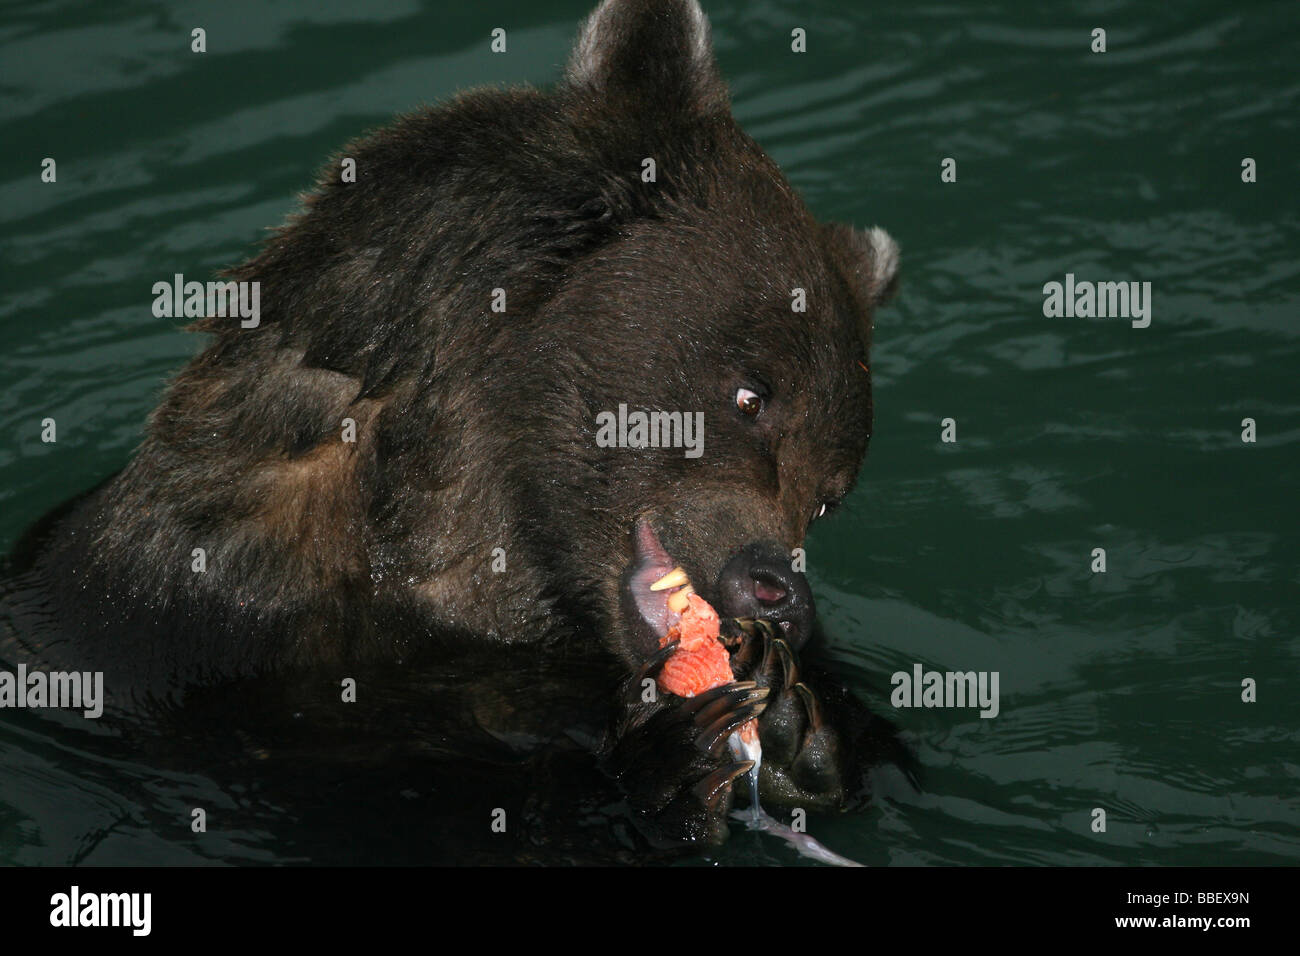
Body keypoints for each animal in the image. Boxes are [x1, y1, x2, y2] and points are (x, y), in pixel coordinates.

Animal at [6, 0, 905, 857]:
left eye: (829, 494)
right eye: (751, 395)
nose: (780, 593)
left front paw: (800, 728)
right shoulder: (199, 659)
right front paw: (666, 756)